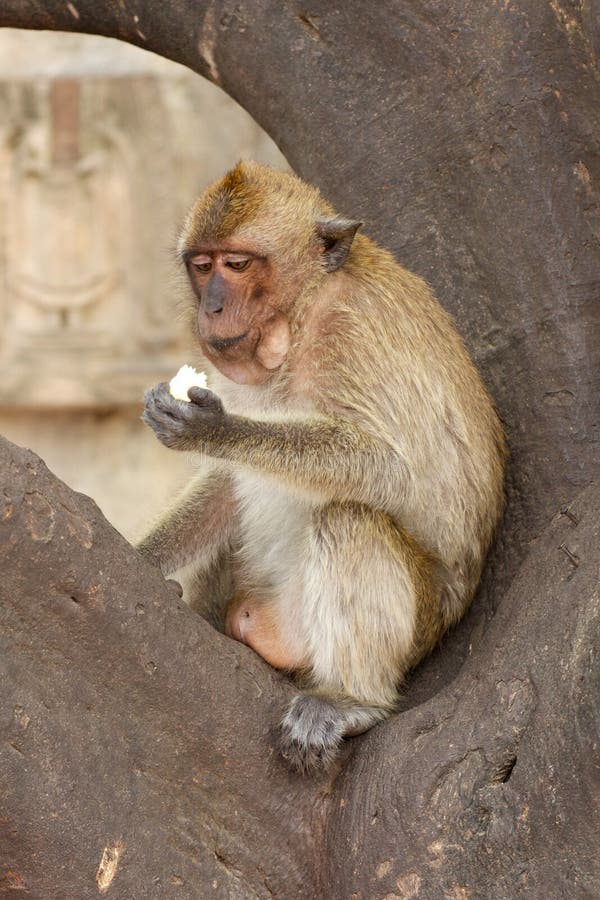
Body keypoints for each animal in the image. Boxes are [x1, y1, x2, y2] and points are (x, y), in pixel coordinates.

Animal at [137, 161, 506, 773]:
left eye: (238, 265)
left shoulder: (352, 332)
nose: (211, 307)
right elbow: (229, 482)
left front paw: (215, 432)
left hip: (413, 628)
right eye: (202, 265)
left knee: (348, 518)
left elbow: (389, 468)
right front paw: (144, 557)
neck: (302, 312)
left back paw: (352, 699)